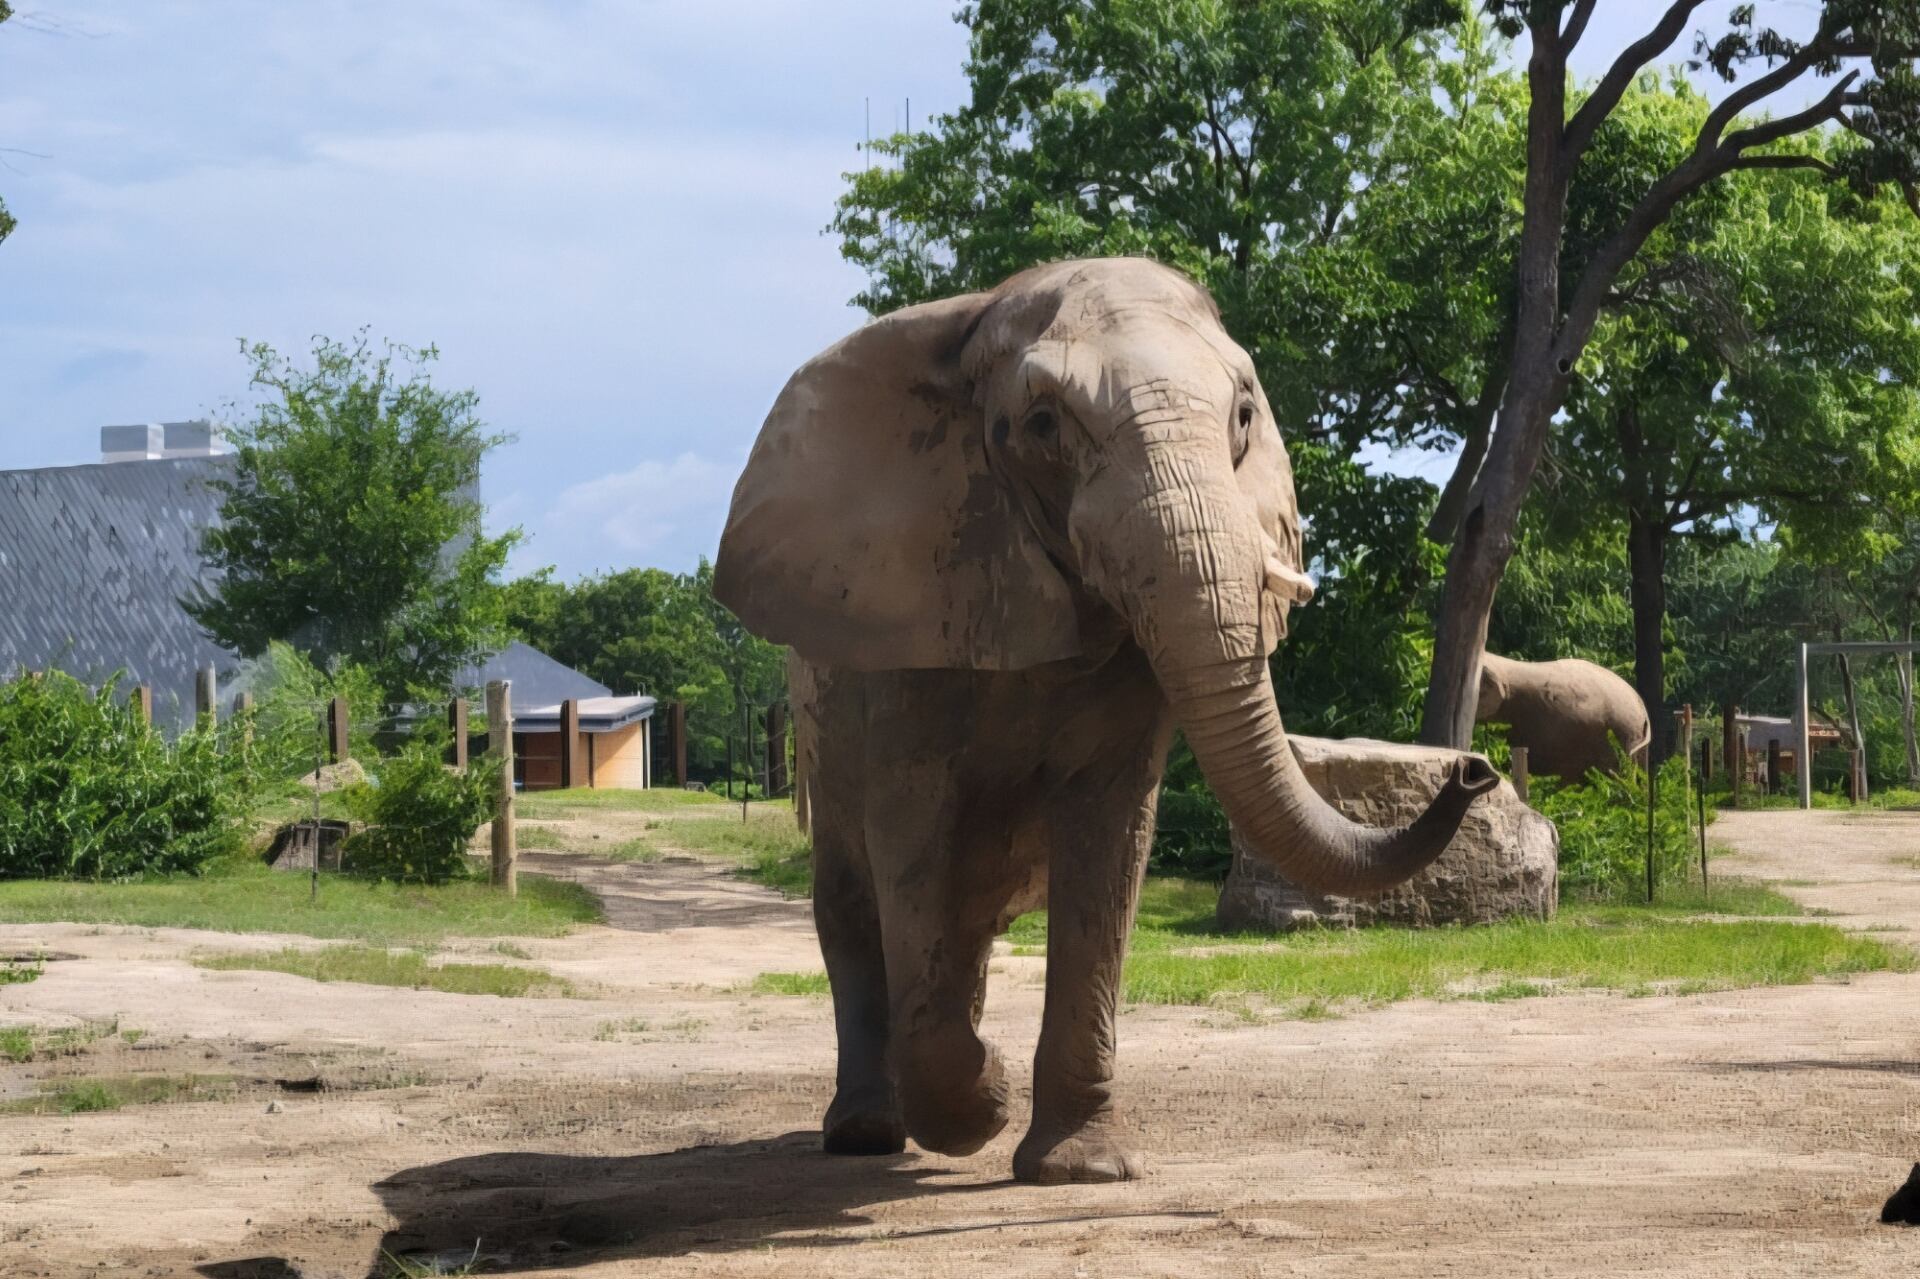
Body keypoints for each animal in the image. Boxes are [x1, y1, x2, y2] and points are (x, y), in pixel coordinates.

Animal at [714, 257, 1496, 1184]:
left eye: (1243, 415)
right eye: (1043, 423)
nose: (1474, 769)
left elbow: (1109, 840)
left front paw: (1078, 1168)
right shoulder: (913, 617)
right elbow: (910, 827)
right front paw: (987, 1101)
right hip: (820, 714)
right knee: (852, 893)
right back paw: (869, 1130)